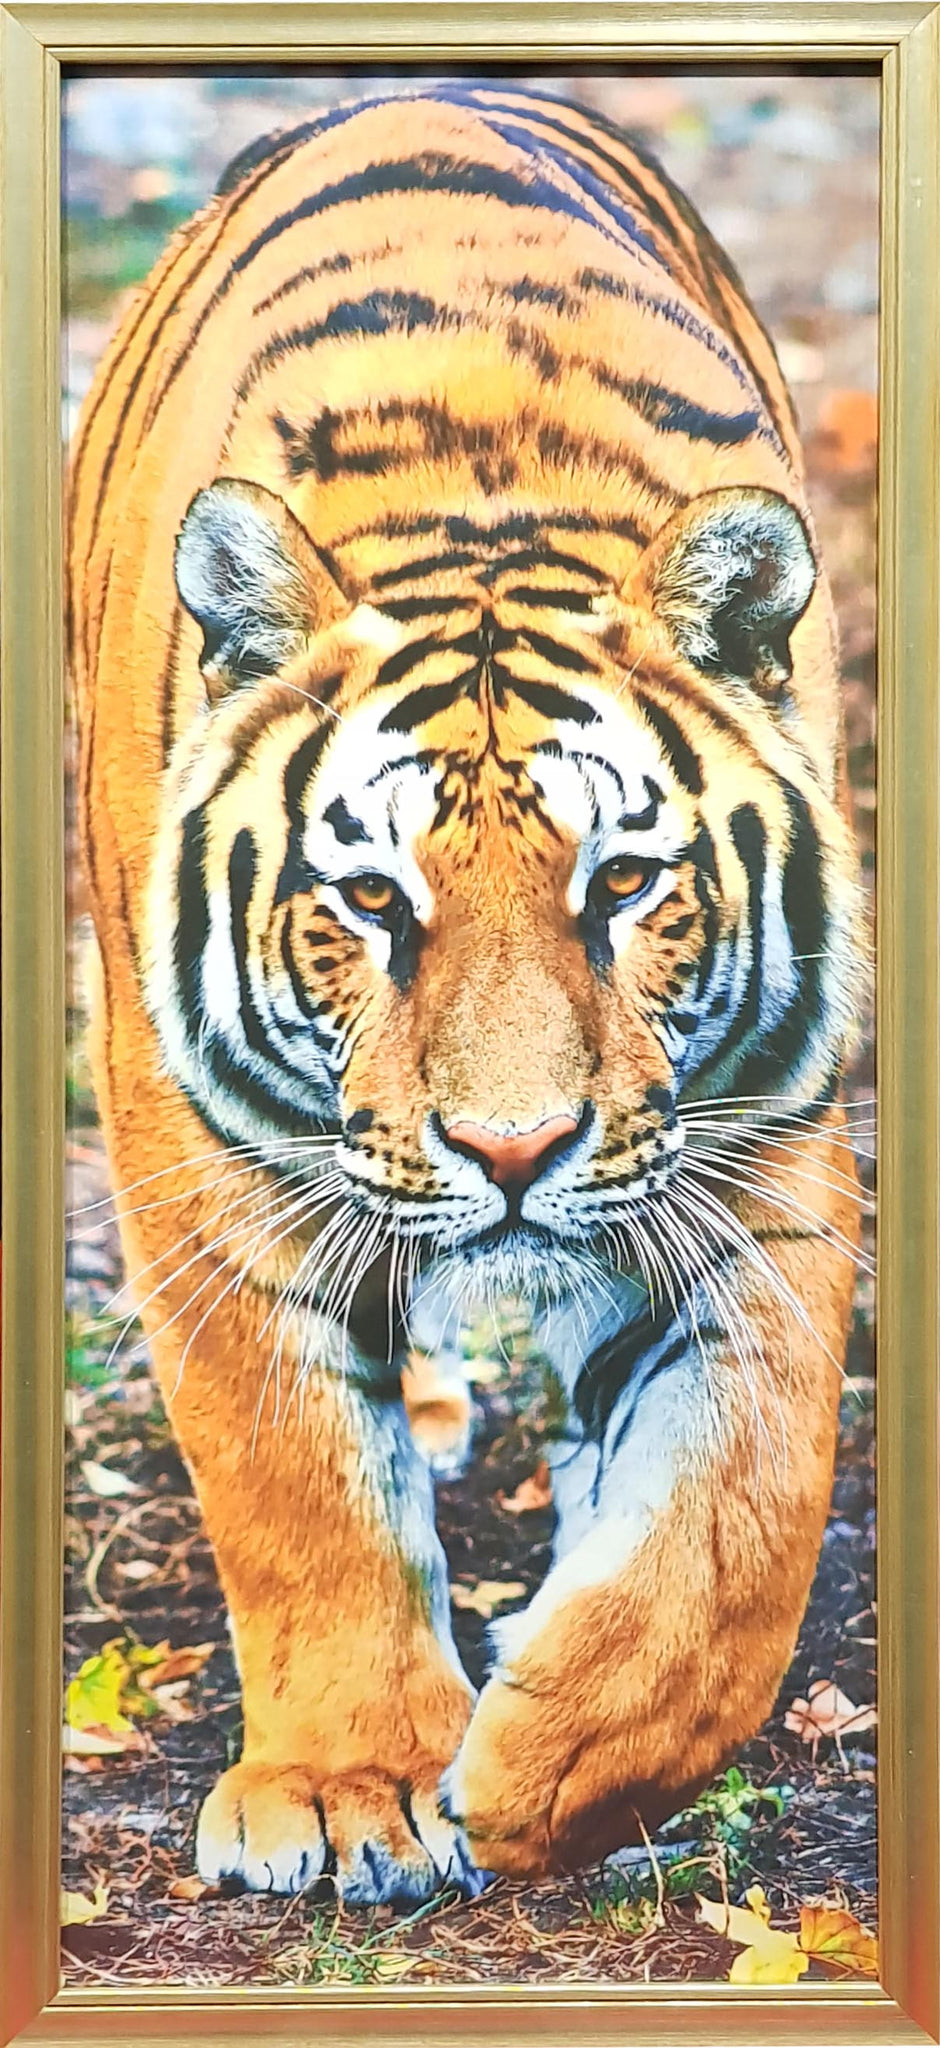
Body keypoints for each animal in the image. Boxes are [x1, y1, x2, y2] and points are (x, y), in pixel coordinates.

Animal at [69, 81, 864, 1904]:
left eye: (624, 883)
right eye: (372, 900)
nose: (512, 1154)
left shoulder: (768, 1145)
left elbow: (738, 1518)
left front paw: (539, 1773)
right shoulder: (195, 1143)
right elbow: (292, 1475)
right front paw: (352, 1787)